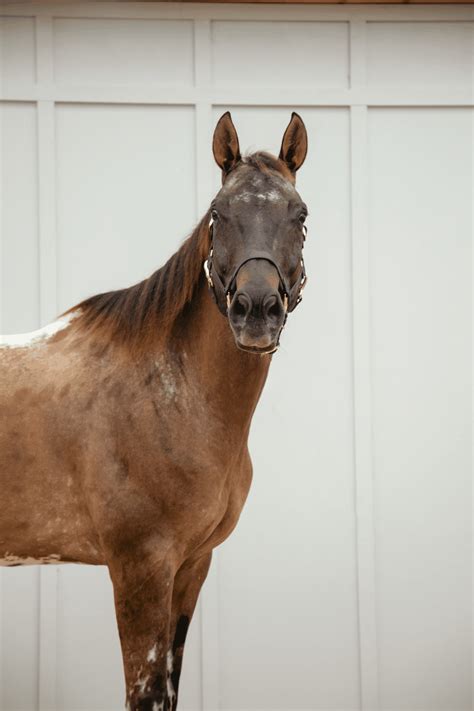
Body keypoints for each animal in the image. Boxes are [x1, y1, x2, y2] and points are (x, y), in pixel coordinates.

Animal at [0, 111, 309, 710]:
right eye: (218, 214)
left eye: (300, 215)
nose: (256, 311)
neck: (175, 399)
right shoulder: (139, 569)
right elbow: (143, 694)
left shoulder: (189, 568)